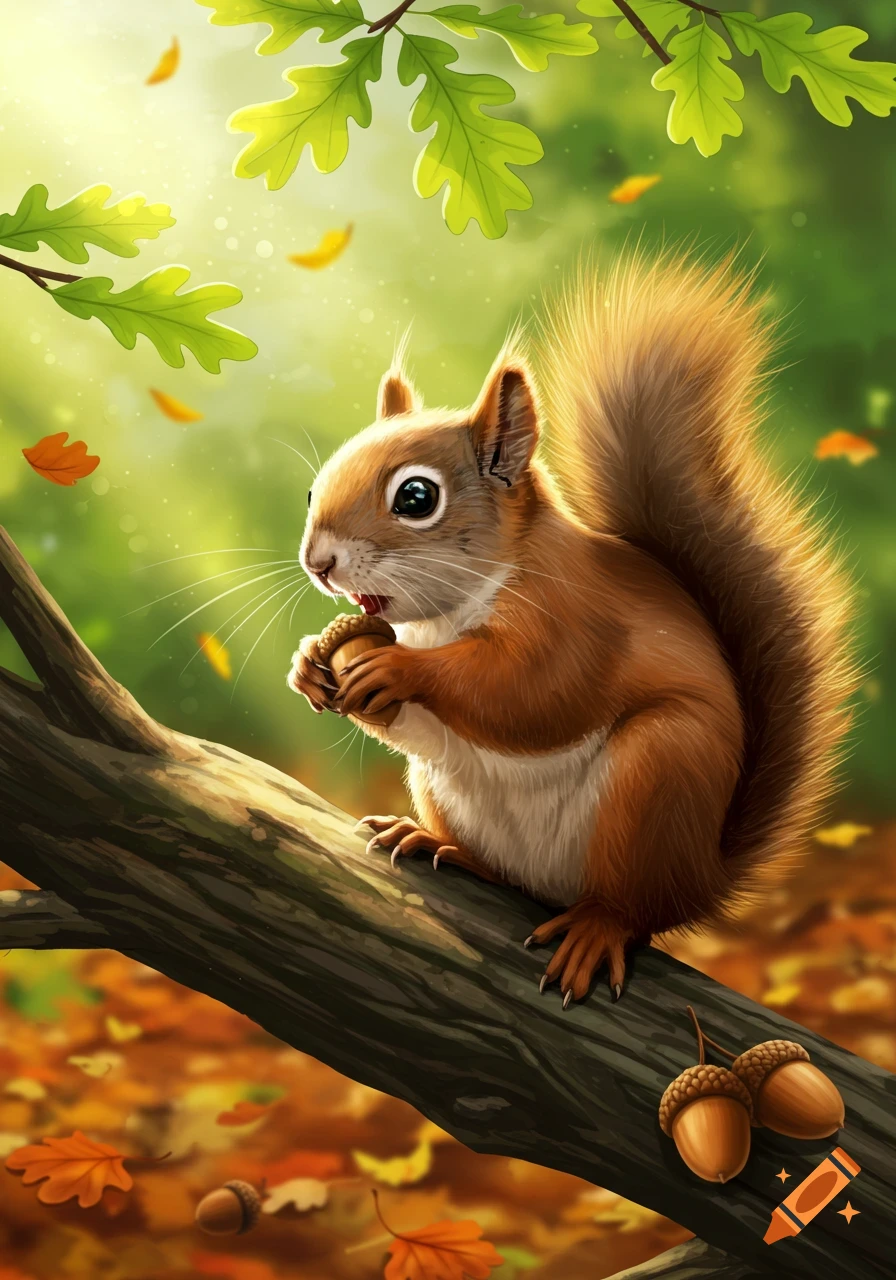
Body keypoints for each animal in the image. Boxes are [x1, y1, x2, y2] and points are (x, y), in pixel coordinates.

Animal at [288, 250, 856, 1006]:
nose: (318, 562)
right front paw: (310, 663)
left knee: (632, 908)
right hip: (449, 790)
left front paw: (395, 669)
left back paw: (596, 929)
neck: (448, 619)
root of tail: (703, 876)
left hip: (658, 776)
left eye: (415, 496)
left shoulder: (578, 623)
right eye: (315, 488)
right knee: (505, 871)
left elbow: (530, 694)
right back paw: (440, 846)